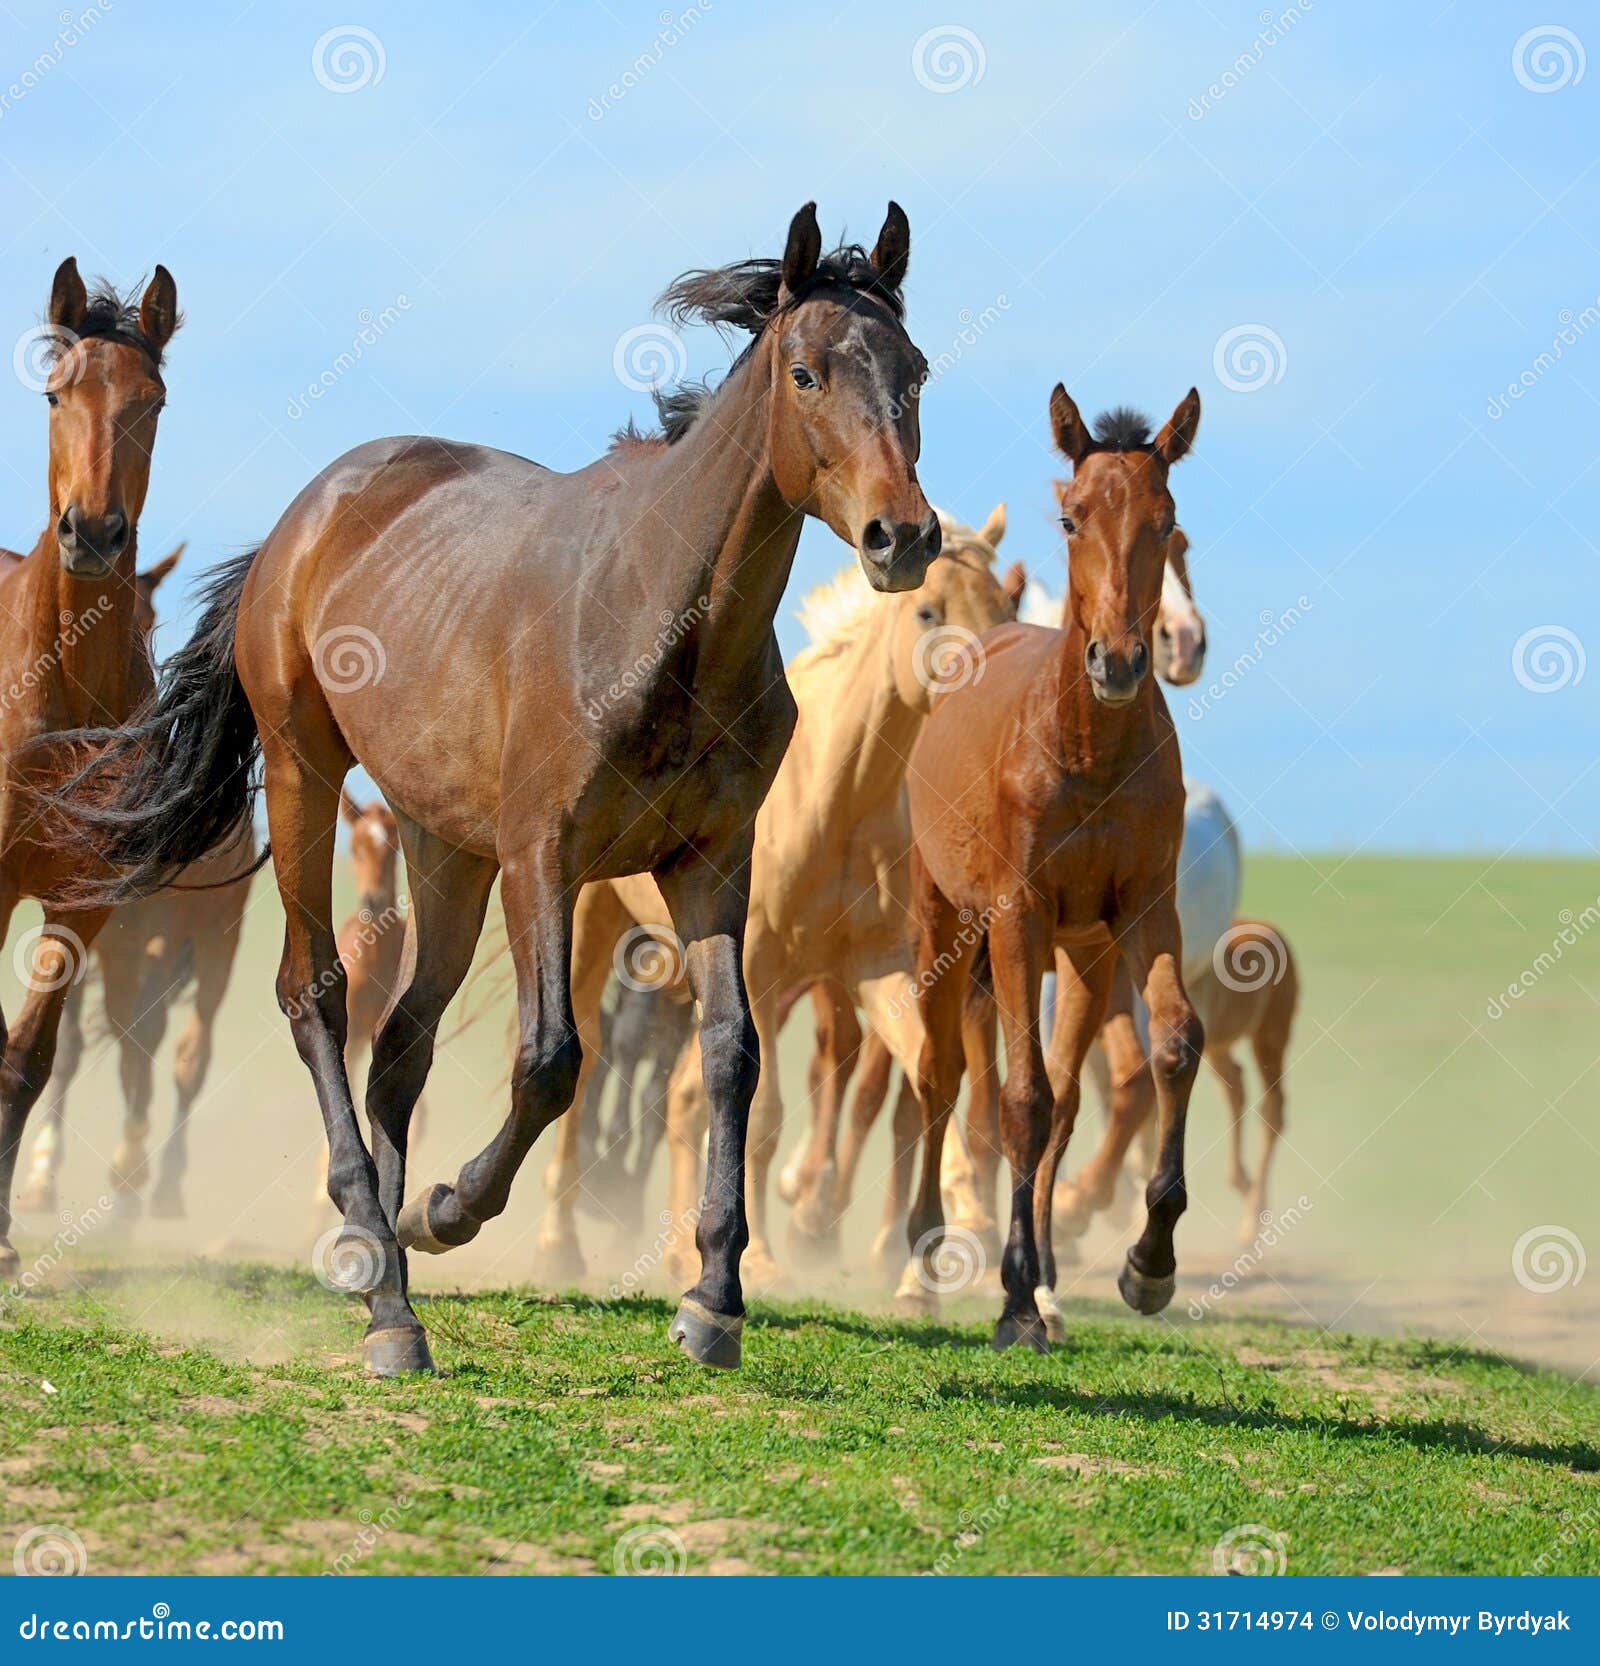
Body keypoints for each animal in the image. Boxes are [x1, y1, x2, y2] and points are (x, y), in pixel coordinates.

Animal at [14, 544, 255, 1221]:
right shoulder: (96, 933)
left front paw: (129, 1166)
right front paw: (42, 1176)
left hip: (214, 941)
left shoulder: (137, 933)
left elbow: (138, 1035)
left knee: (186, 1054)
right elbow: (75, 1044)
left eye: (148, 622)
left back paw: (161, 1182)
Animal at [39, 204, 938, 1376]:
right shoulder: (542, 857)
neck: (661, 617)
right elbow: (552, 1058)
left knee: (401, 1043)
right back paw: (389, 1291)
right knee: (318, 996)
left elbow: (730, 1053)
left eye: (913, 370)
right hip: (306, 777)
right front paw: (447, 1208)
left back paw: (377, 1255)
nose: (902, 536)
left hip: (446, 851)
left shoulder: (707, 863)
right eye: (804, 373)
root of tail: (307, 516)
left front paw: (712, 1300)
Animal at [545, 519, 1021, 1283]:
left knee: (680, 1099)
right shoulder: (761, 970)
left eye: (1004, 612)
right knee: (588, 1058)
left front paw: (959, 1222)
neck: (832, 799)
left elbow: (928, 1074)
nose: (987, 712)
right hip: (592, 926)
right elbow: (762, 1113)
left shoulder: (879, 969)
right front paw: (762, 1259)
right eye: (928, 612)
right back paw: (558, 1243)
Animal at [903, 386, 1204, 1351]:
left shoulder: (1146, 912)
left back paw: (1048, 1282)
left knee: (1069, 1100)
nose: (1121, 659)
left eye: (1167, 521)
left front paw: (1148, 1263)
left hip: (1084, 954)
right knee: (941, 1079)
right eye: (1073, 519)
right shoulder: (1016, 916)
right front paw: (1009, 1304)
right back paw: (923, 1267)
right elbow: (1019, 1099)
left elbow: (1174, 1045)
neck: (1089, 752)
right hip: (945, 925)